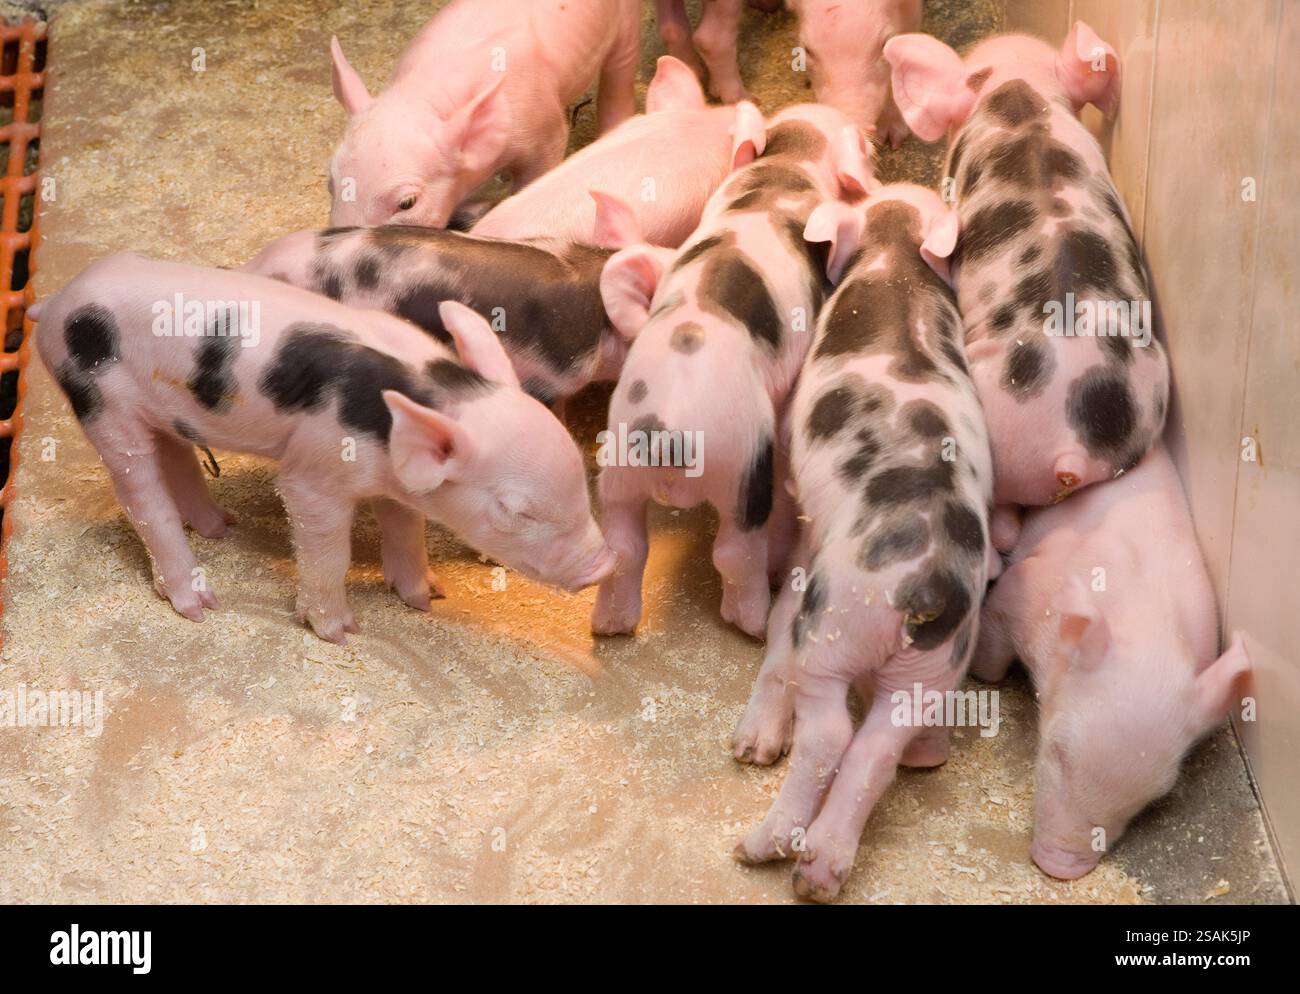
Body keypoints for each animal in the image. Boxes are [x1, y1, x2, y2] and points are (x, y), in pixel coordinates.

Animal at [32, 255, 614, 643]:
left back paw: (222, 528)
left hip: (165, 408)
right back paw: (200, 605)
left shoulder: (395, 478)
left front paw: (427, 597)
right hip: (99, 403)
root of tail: (58, 300)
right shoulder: (314, 470)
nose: (603, 565)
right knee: (140, 490)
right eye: (516, 511)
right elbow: (327, 547)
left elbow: (406, 528)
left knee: (174, 456)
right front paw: (338, 632)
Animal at [592, 103, 874, 638]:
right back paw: (756, 623)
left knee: (622, 548)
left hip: (618, 469)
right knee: (733, 550)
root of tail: (670, 429)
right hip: (742, 465)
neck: (791, 163)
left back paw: (609, 627)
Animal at [653, 0, 920, 147]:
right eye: (806, 49)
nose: (853, 126)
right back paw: (746, 100)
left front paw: (893, 141)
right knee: (709, 38)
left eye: (883, 43)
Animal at [731, 183, 993, 903]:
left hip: (837, 626)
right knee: (878, 749)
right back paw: (821, 870)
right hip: (935, 665)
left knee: (829, 736)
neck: (894, 254)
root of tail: (925, 582)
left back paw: (755, 849)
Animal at [970, 443, 1251, 880]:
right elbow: (992, 655)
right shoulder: (1020, 591)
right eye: (1058, 751)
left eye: (1155, 795)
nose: (1060, 865)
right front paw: (979, 674)